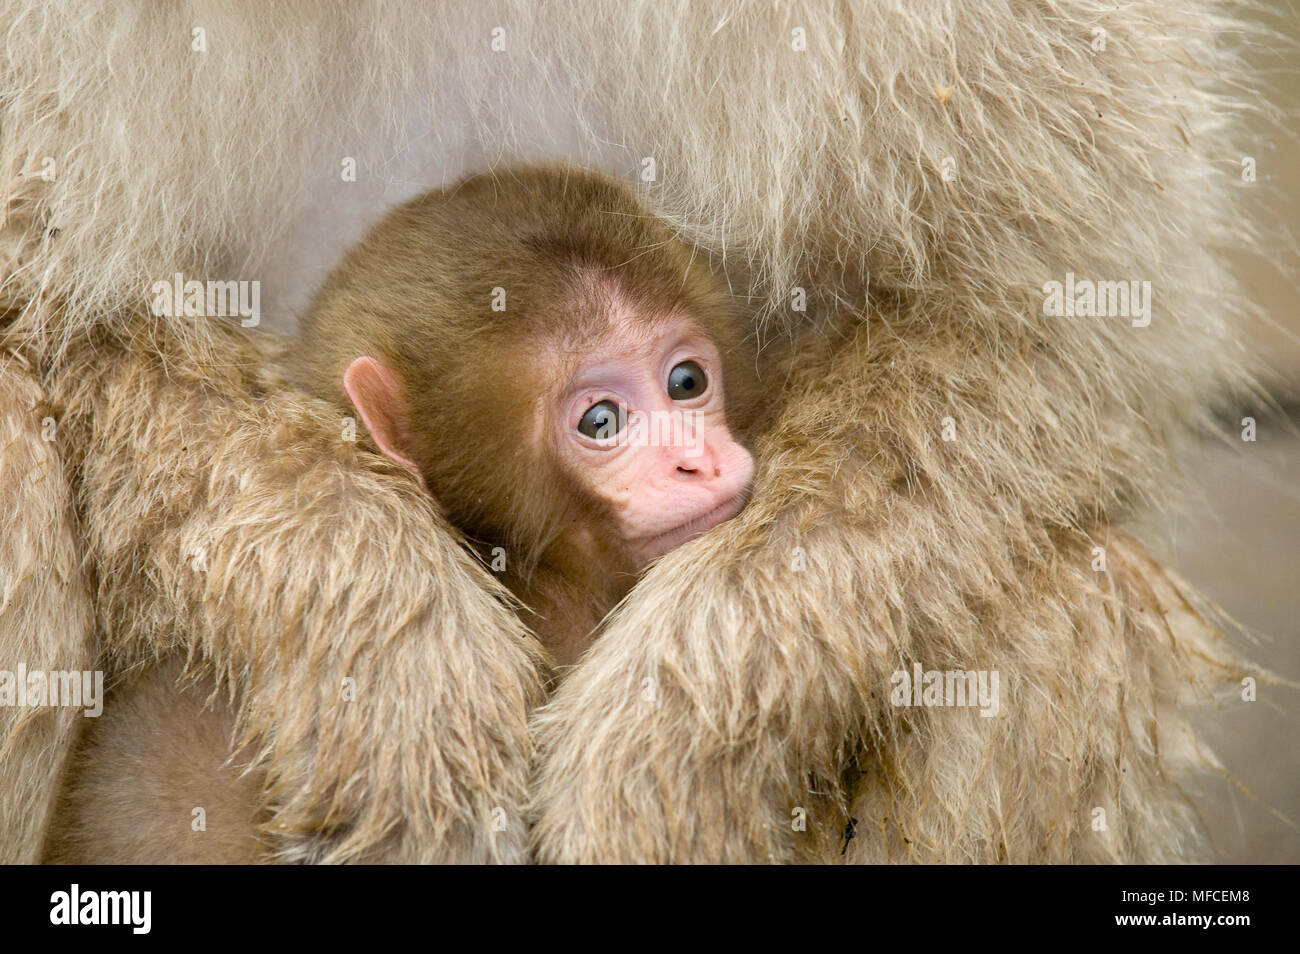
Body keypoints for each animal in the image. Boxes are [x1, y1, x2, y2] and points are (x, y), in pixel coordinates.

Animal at [1, 1, 1278, 865]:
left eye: (687, 380)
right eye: (602, 419)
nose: (696, 457)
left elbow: (1039, 325)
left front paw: (670, 765)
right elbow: (48, 312)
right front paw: (389, 670)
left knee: (1077, 596)